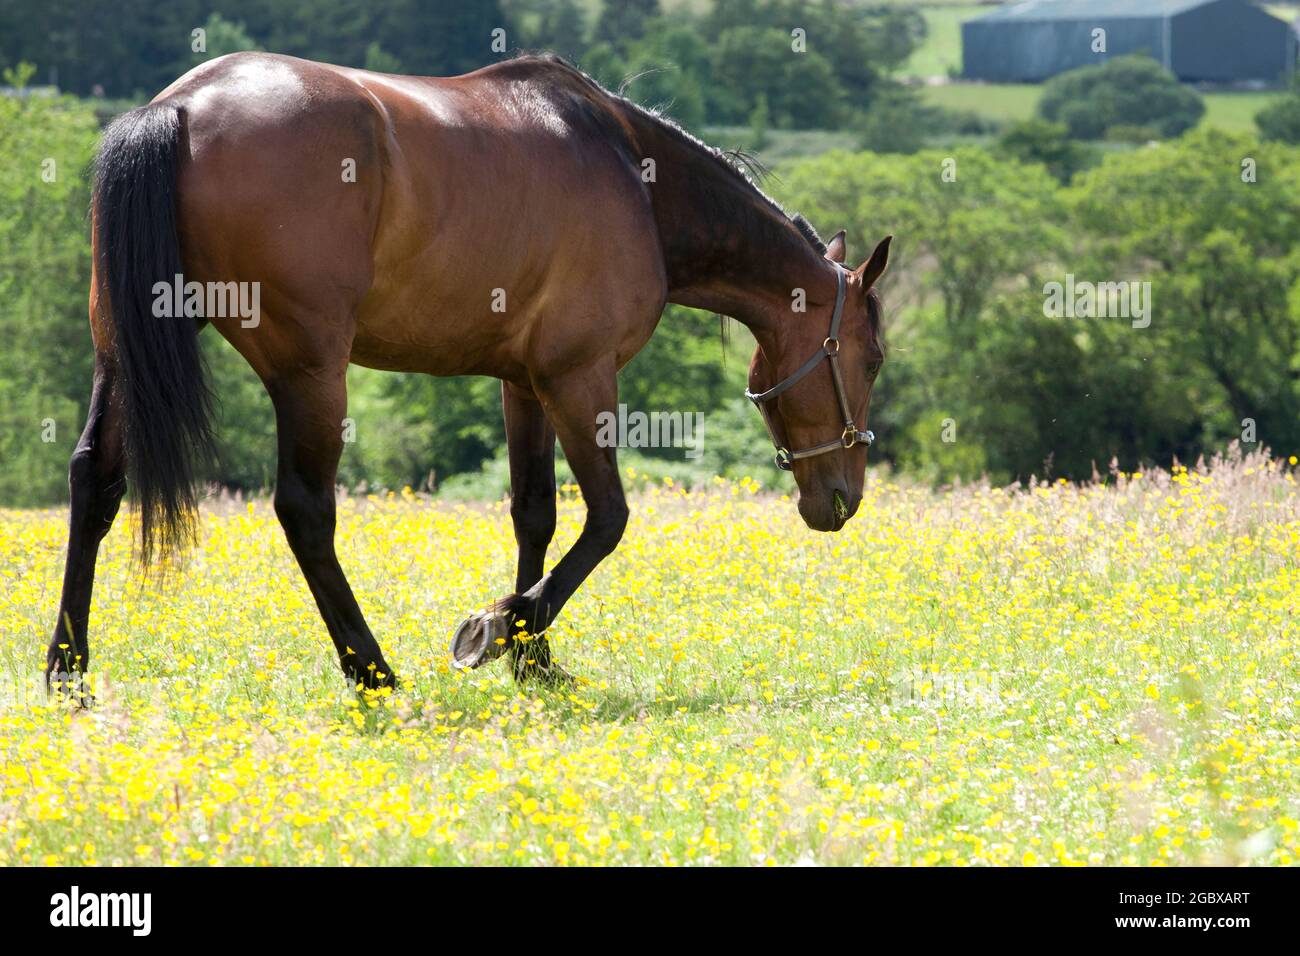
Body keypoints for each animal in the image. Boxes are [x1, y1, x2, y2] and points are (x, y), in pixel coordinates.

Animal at [46, 52, 890, 692]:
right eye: (874, 358)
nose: (842, 500)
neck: (634, 178)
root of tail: (181, 108)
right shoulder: (580, 377)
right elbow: (607, 518)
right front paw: (499, 627)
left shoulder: (524, 383)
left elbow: (534, 514)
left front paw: (534, 656)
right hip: (311, 370)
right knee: (305, 511)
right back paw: (372, 671)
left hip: (122, 353)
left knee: (96, 480)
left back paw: (67, 668)